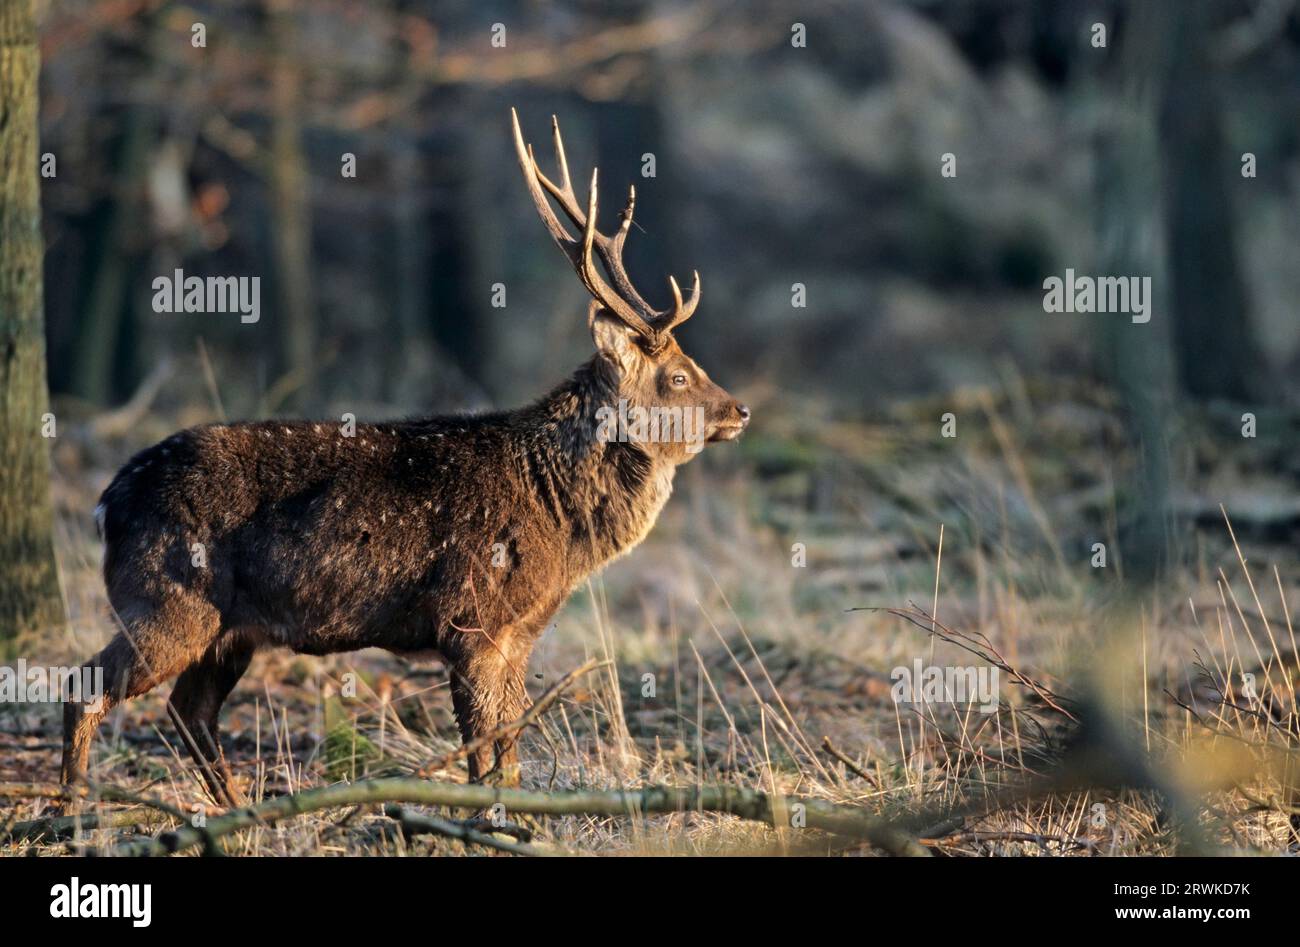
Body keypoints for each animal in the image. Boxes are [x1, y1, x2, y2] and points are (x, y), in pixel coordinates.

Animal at [61, 109, 750, 807]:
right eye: (679, 377)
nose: (740, 411)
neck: (560, 522)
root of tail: (106, 502)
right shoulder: (470, 620)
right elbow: (484, 749)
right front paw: (489, 815)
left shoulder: (519, 634)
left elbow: (508, 746)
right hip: (167, 599)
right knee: (83, 687)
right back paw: (74, 804)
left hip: (229, 628)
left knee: (189, 708)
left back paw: (234, 809)